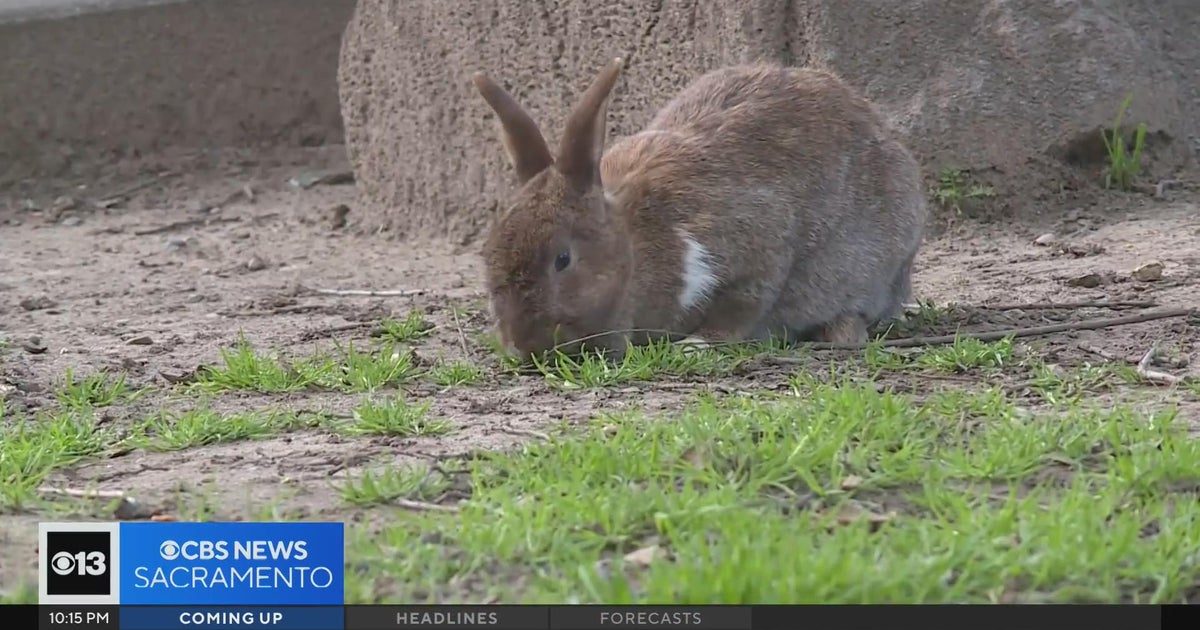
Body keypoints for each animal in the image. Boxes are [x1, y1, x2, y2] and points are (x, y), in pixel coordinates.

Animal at [471, 57, 927, 359]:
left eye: (562, 260)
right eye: (488, 253)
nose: (521, 345)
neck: (635, 244)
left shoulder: (755, 249)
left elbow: (743, 306)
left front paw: (694, 345)